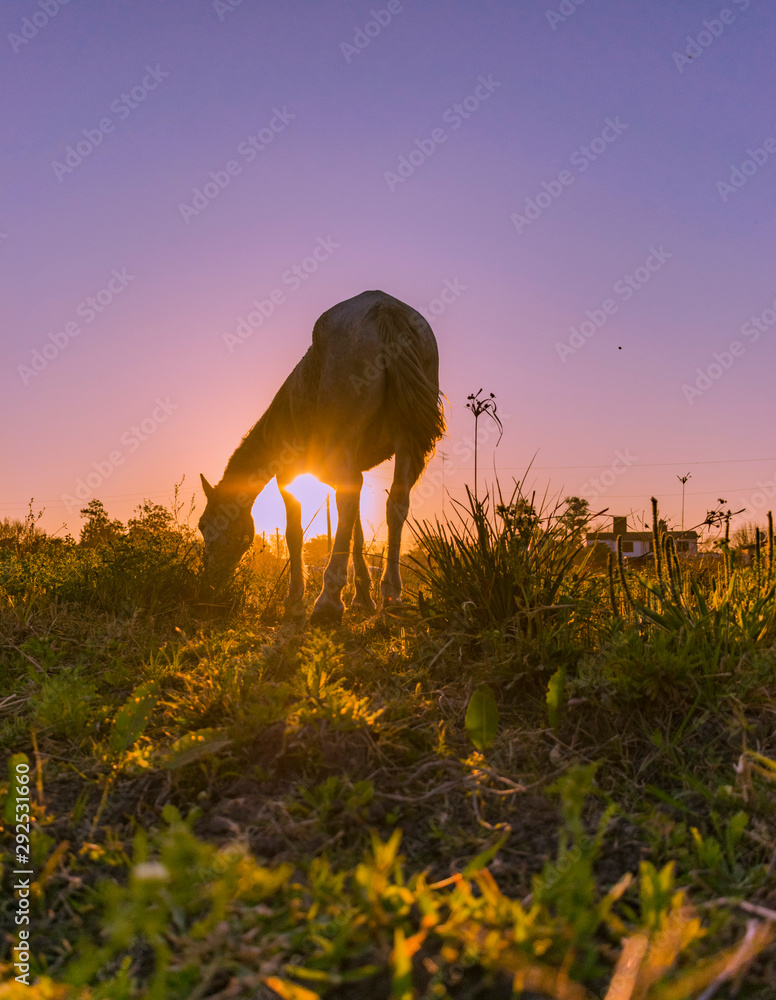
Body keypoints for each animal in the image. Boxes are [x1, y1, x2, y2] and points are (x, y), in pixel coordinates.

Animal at [198, 289, 445, 623]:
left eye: (203, 525)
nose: (207, 583)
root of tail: (385, 309)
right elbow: (356, 532)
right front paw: (362, 597)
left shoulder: (288, 477)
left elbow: (295, 534)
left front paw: (294, 598)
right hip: (406, 439)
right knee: (395, 502)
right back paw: (391, 595)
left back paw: (327, 600)